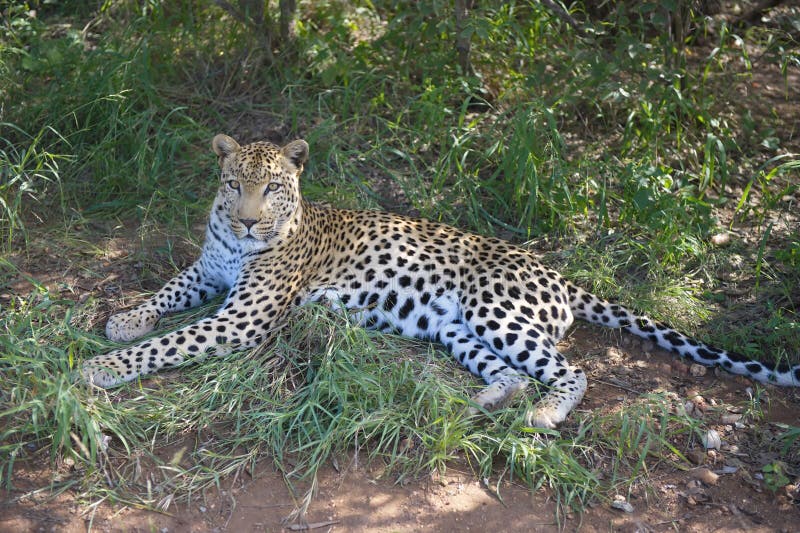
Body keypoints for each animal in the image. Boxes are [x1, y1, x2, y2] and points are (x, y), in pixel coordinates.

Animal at [83, 134, 800, 428]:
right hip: (454, 327)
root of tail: (557, 273)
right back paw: (484, 402)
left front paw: (102, 367)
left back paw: (543, 413)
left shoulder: (243, 315)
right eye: (234, 184)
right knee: (511, 371)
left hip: (497, 311)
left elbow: (172, 341)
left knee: (571, 370)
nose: (251, 220)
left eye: (275, 189)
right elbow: (170, 291)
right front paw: (125, 318)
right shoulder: (209, 268)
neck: (237, 246)